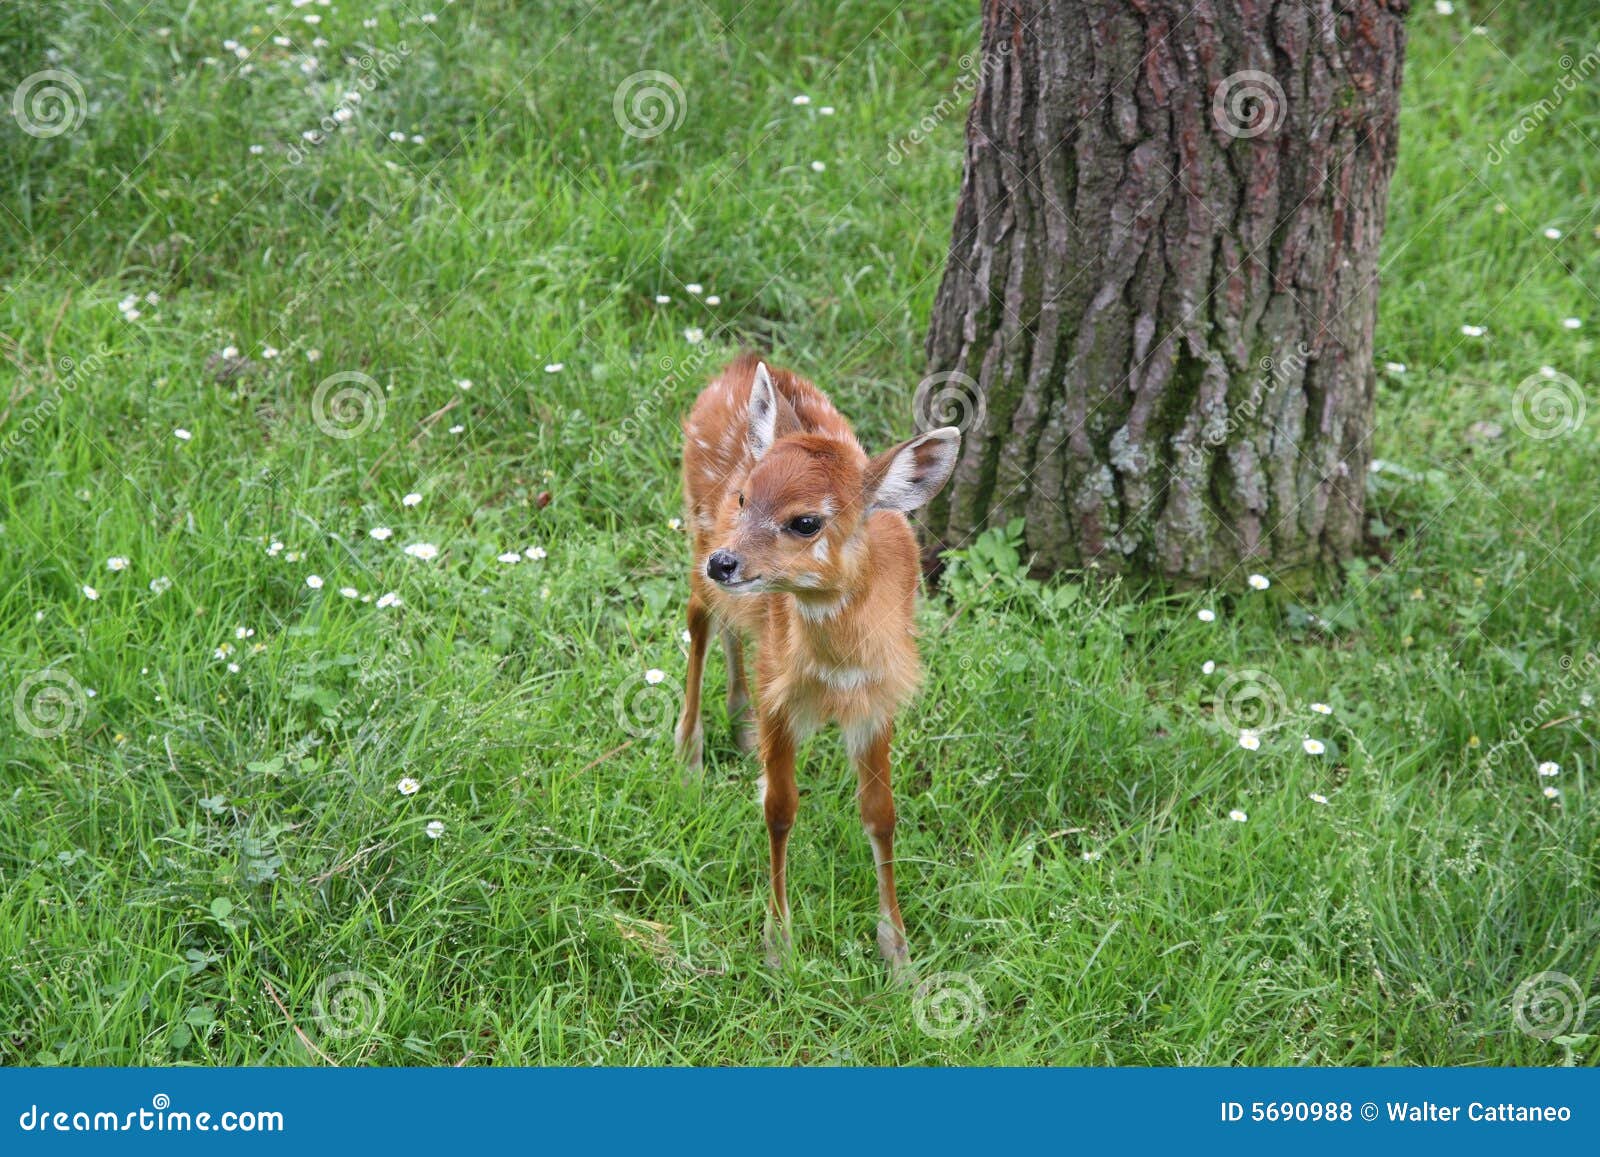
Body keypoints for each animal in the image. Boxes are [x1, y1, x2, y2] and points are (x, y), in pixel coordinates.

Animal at [675, 354, 961, 974]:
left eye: (806, 522)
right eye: (744, 498)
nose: (726, 561)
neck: (837, 667)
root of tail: (739, 362)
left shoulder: (878, 699)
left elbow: (882, 814)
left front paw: (899, 956)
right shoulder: (782, 694)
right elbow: (780, 806)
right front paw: (779, 944)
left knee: (730, 625)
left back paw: (738, 725)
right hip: (695, 527)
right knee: (698, 616)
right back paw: (689, 752)